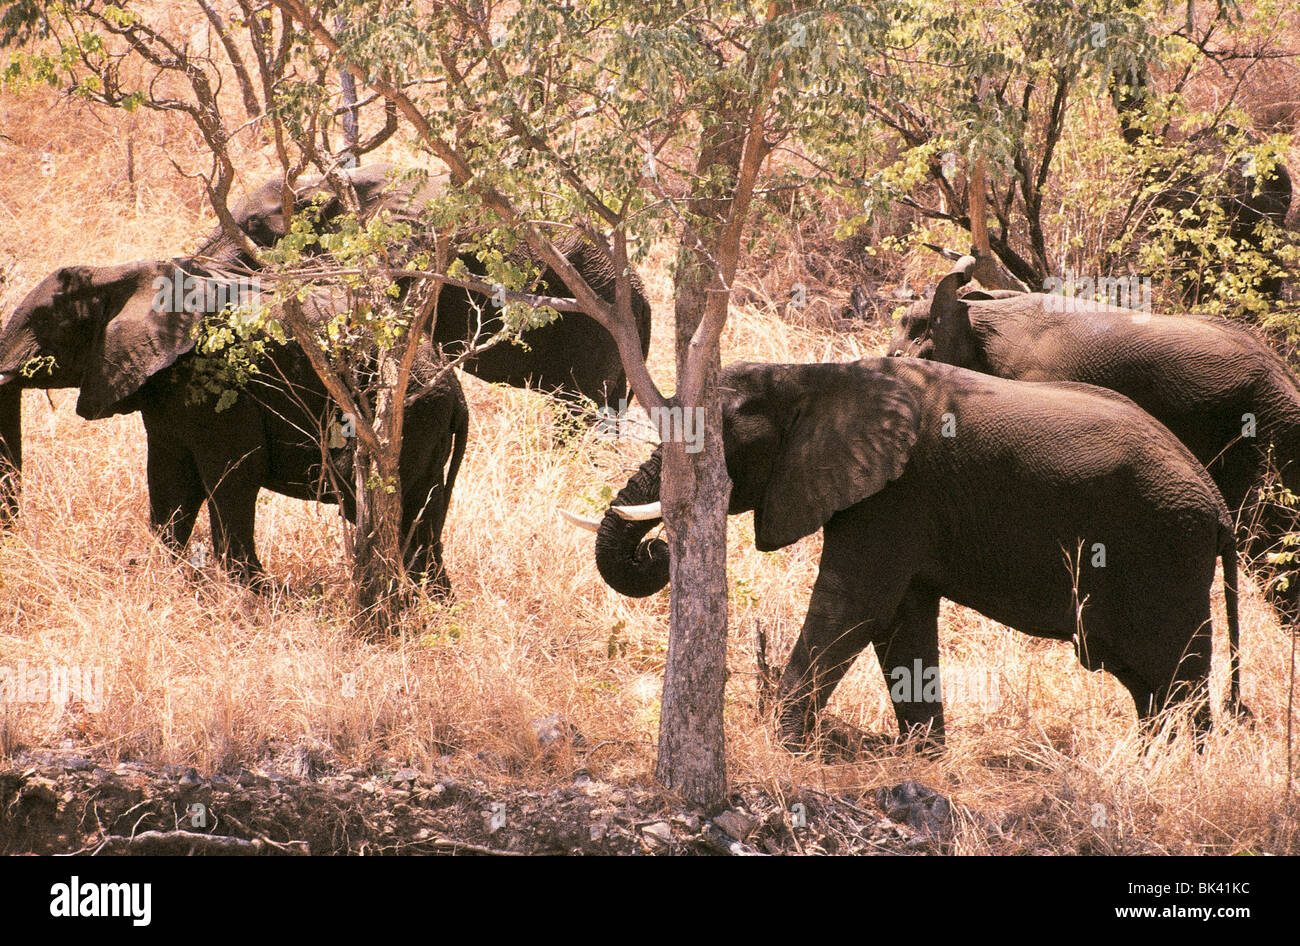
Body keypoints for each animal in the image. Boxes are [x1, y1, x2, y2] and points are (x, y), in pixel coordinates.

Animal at [0, 258, 468, 593]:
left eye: (43, 323)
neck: (120, 273)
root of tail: (456, 391)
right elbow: (169, 482)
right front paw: (176, 580)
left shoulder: (220, 382)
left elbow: (233, 474)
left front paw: (258, 594)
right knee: (421, 519)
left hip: (412, 413)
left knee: (379, 509)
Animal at [579, 358, 1242, 749]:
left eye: (715, 444)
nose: (658, 550)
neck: (816, 377)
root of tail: (1216, 503)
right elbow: (901, 621)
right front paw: (924, 758)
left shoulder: (894, 495)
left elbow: (853, 607)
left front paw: (781, 744)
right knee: (1149, 685)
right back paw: (1153, 761)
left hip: (1166, 548)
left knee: (1176, 676)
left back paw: (1182, 769)